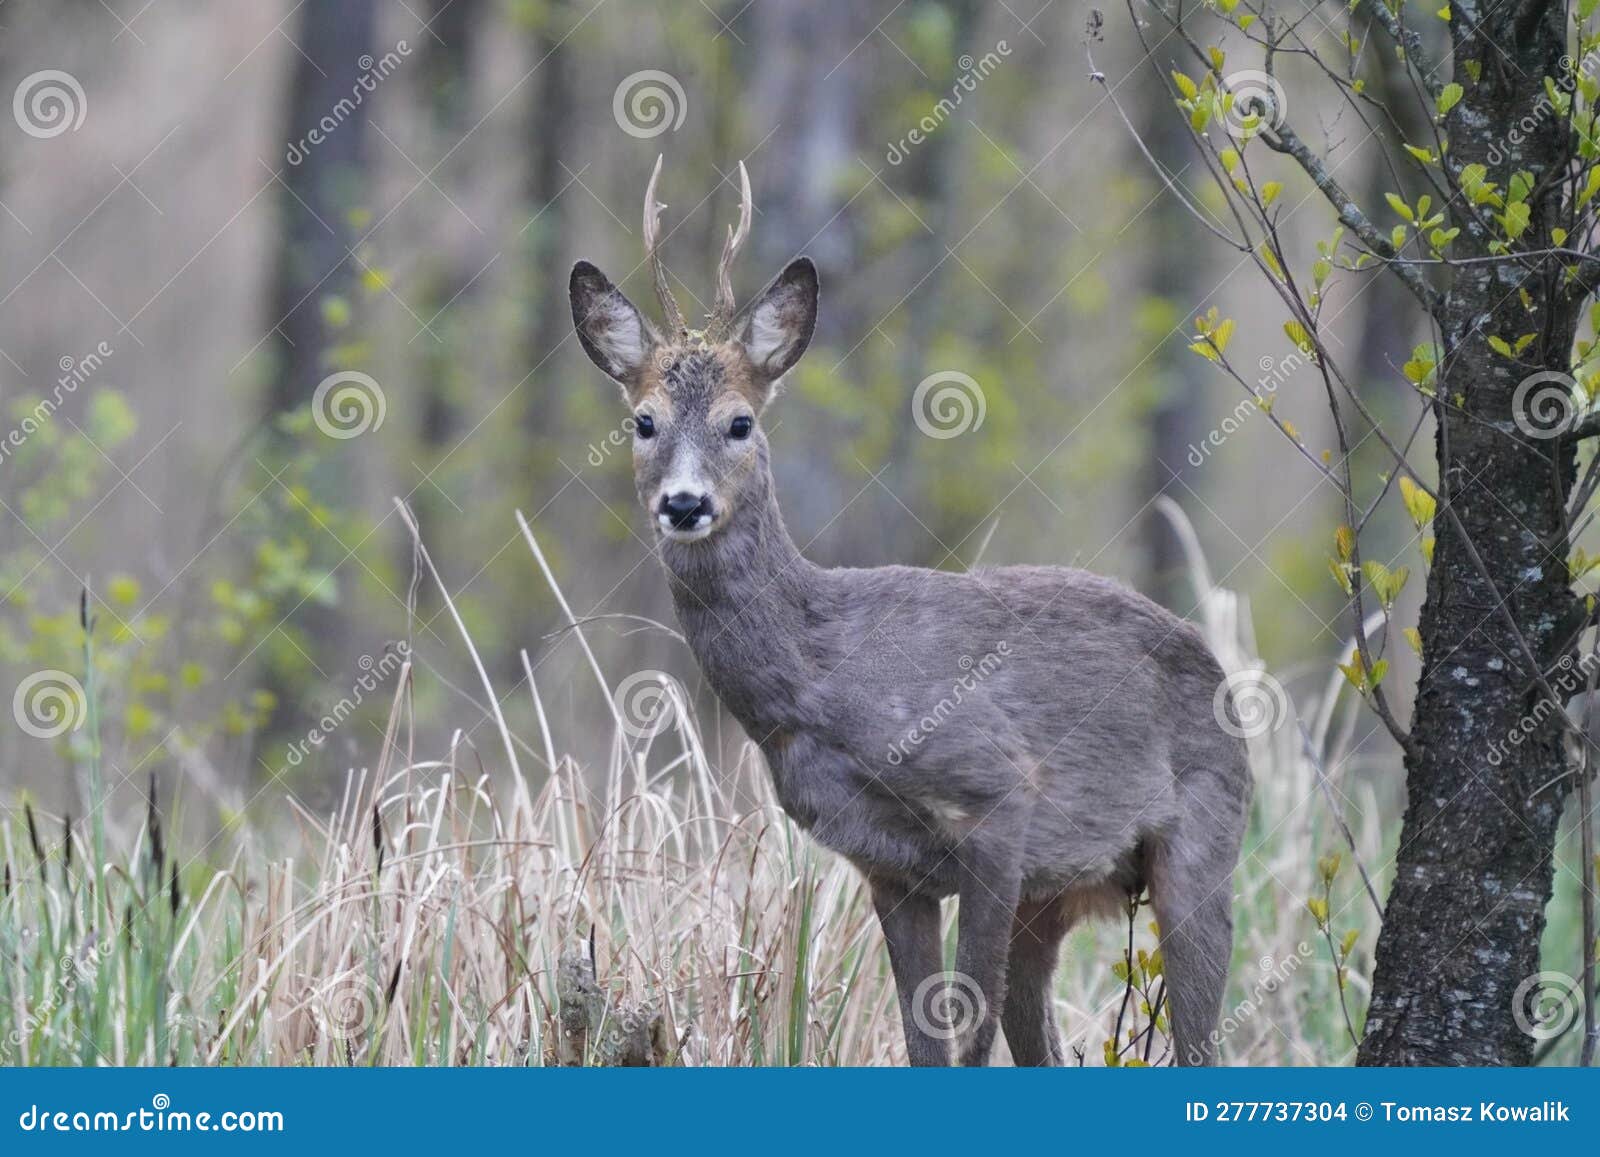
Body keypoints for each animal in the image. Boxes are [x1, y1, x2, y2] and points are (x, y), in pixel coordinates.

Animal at [568, 157, 1252, 1066]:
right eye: (643, 422)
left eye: (739, 422)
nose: (684, 503)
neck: (820, 679)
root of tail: (1224, 675)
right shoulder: (888, 866)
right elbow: (923, 1037)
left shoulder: (1000, 793)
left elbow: (969, 1035)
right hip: (1060, 895)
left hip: (1205, 837)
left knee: (1201, 1033)